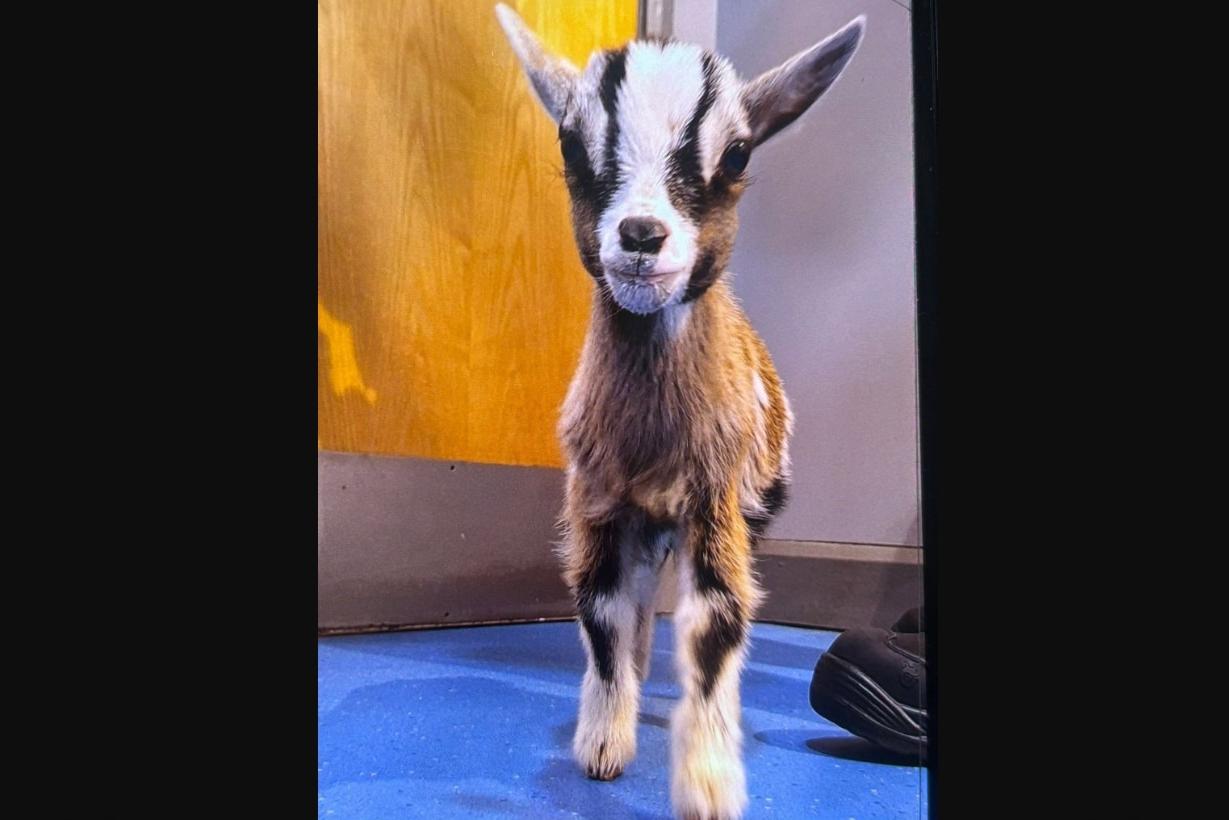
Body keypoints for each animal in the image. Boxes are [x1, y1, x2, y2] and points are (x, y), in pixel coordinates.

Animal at [496, 6, 864, 818]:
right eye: (571, 145)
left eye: (736, 153)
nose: (641, 237)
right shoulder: (598, 502)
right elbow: (603, 610)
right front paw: (604, 746)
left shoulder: (714, 502)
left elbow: (717, 621)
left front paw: (707, 785)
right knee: (635, 608)